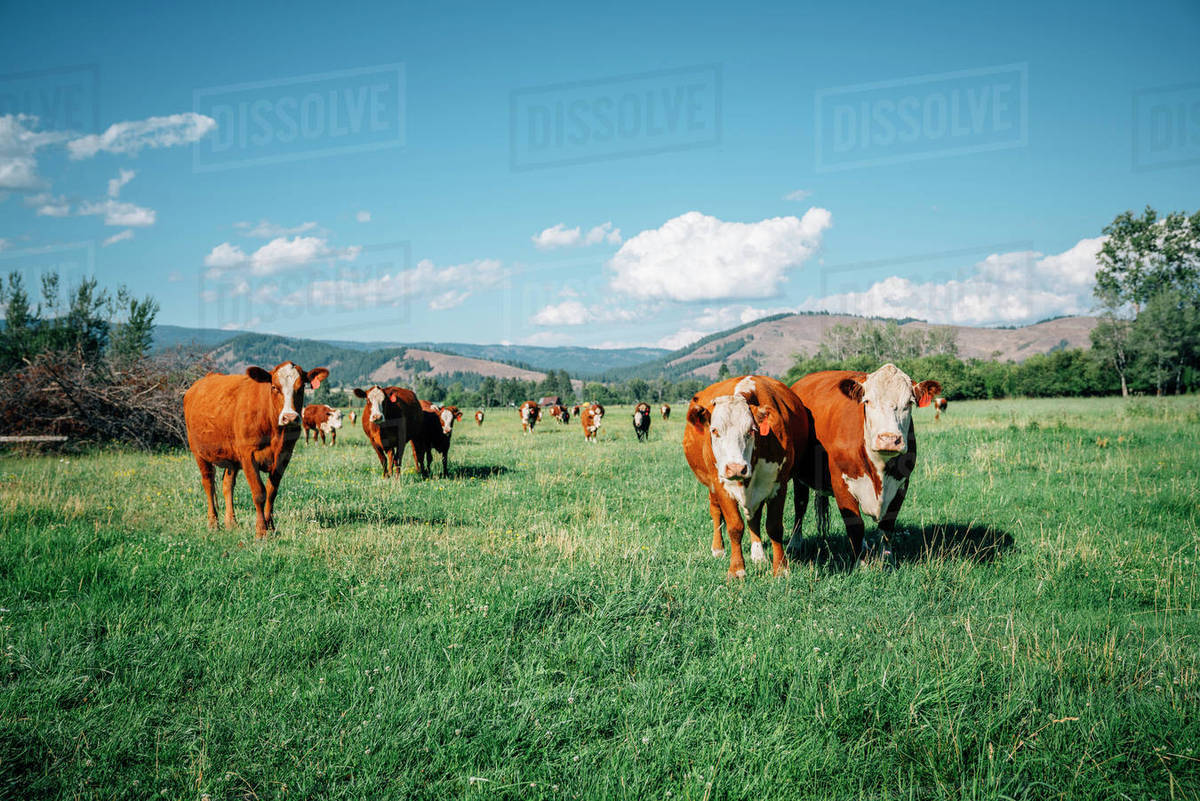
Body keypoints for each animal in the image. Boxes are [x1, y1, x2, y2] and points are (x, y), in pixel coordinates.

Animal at [184, 361, 329, 537]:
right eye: (274, 387)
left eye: (301, 388)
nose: (289, 417)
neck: (275, 432)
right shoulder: (248, 455)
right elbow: (259, 492)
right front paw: (261, 530)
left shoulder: (284, 456)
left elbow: (271, 492)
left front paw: (271, 526)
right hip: (199, 453)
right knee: (208, 483)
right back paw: (213, 523)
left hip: (232, 460)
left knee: (227, 485)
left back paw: (231, 523)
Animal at [683, 375, 808, 577]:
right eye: (715, 431)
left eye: (751, 430)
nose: (736, 468)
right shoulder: (721, 486)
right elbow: (735, 527)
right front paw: (737, 570)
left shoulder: (778, 484)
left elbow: (774, 527)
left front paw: (781, 568)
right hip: (711, 486)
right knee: (716, 511)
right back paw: (719, 549)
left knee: (789, 507)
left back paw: (764, 552)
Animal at [788, 364, 941, 567]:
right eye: (867, 401)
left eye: (909, 402)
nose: (889, 439)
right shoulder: (841, 483)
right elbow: (855, 526)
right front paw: (861, 563)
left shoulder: (901, 483)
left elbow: (887, 526)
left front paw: (887, 559)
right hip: (799, 478)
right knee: (800, 506)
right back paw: (794, 544)